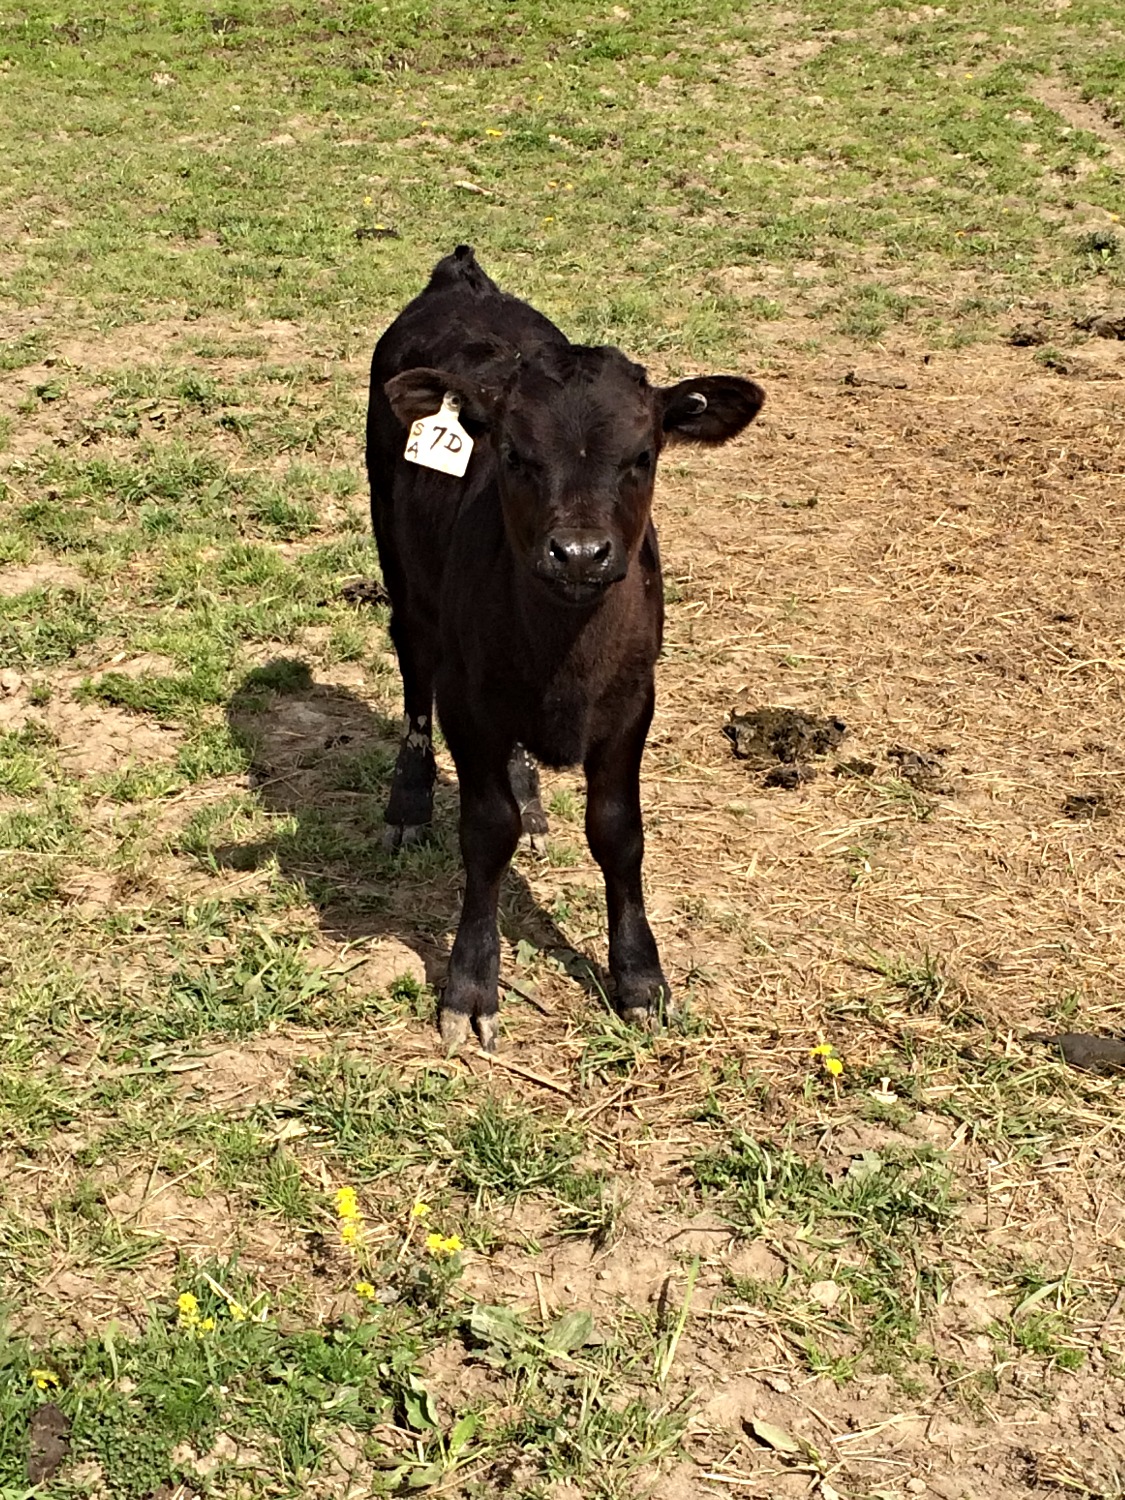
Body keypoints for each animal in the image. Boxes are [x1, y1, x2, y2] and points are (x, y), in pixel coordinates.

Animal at [366, 245, 764, 1052]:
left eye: (643, 455)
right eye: (514, 454)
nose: (578, 553)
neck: (562, 657)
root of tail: (462, 278)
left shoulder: (633, 700)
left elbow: (618, 833)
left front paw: (639, 978)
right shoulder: (467, 698)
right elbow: (485, 831)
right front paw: (469, 986)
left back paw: (531, 798)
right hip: (399, 563)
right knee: (411, 666)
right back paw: (409, 800)